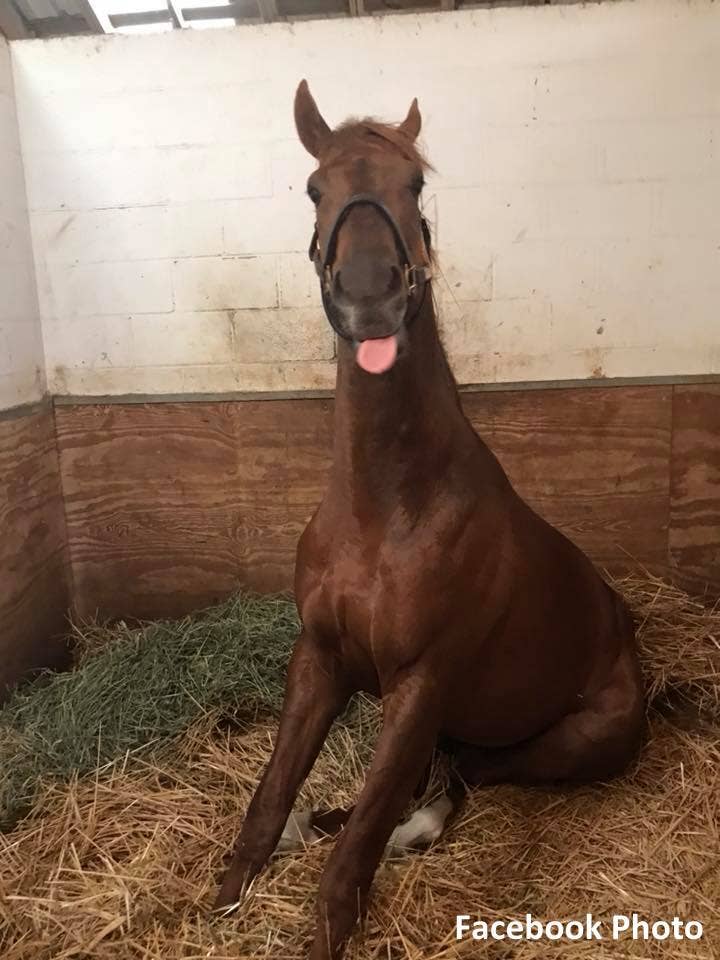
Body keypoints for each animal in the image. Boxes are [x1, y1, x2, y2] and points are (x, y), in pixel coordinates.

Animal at [215, 80, 646, 960]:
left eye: (414, 186)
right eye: (314, 189)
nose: (370, 296)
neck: (385, 511)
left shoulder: (422, 683)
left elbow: (356, 851)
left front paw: (328, 925)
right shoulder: (321, 658)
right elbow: (273, 789)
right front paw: (232, 888)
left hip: (573, 739)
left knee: (463, 776)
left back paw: (411, 828)